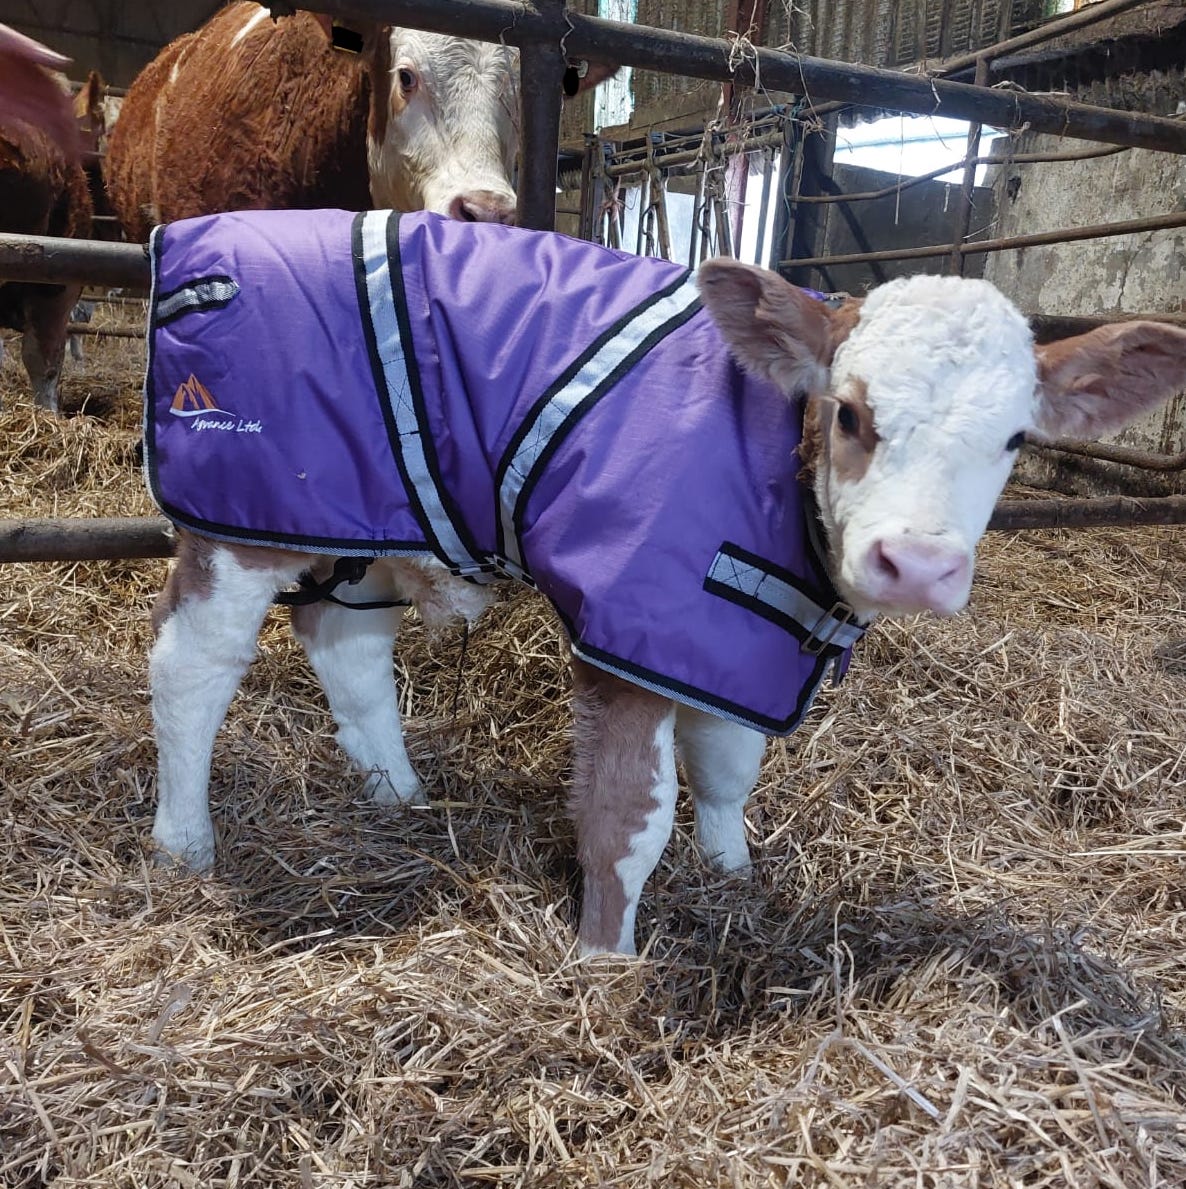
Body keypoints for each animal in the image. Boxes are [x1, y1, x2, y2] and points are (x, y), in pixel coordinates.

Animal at [139, 208, 1186, 957]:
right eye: (851, 413)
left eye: (1014, 439)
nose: (920, 564)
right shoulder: (631, 626)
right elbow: (626, 818)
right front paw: (605, 960)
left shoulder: (737, 629)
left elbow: (728, 764)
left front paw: (732, 875)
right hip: (241, 510)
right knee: (193, 669)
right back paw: (183, 842)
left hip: (359, 512)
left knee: (347, 645)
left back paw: (397, 793)